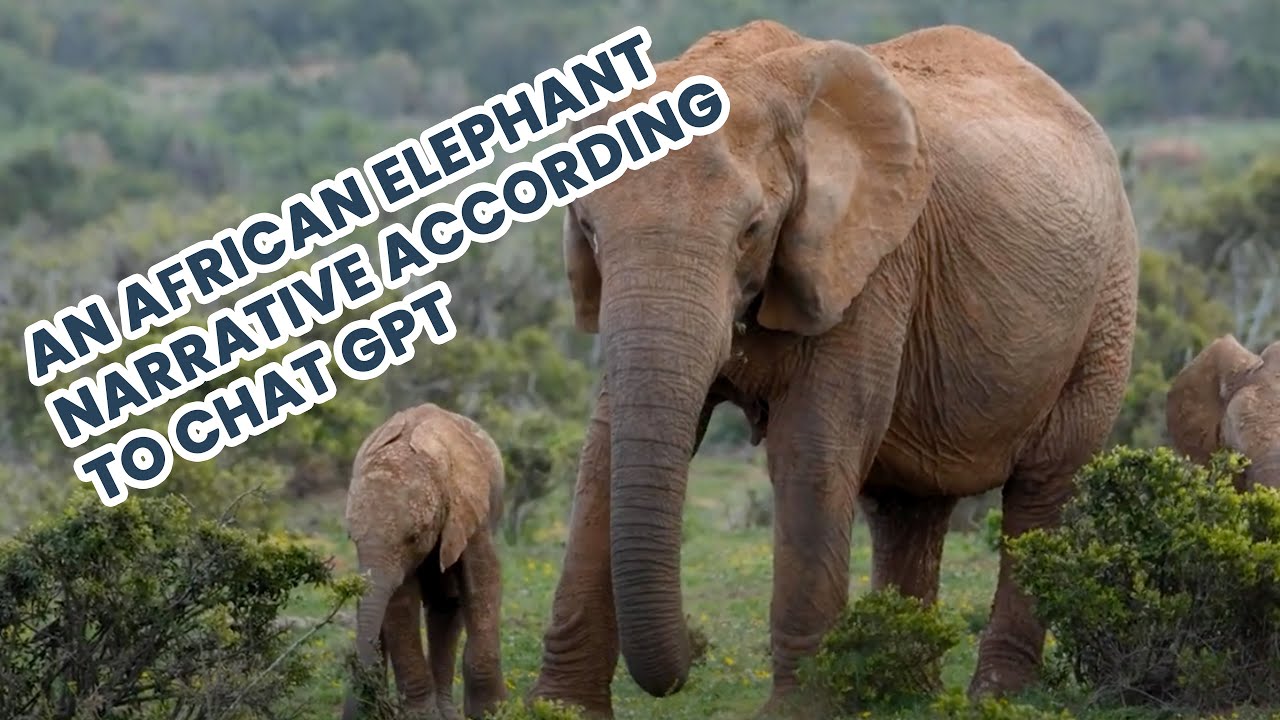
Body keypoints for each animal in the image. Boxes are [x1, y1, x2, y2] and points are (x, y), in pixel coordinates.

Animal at [342, 403, 507, 720]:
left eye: (414, 537)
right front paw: (421, 716)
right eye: (351, 538)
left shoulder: (470, 510)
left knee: (447, 602)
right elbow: (400, 602)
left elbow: (483, 581)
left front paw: (493, 713)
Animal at [527, 19, 1139, 719]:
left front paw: (798, 710)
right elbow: (603, 450)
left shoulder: (873, 262)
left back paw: (996, 695)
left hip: (1107, 303)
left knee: (1045, 486)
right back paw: (910, 694)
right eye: (589, 230)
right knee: (907, 508)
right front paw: (558, 709)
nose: (695, 651)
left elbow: (814, 445)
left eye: (752, 230)